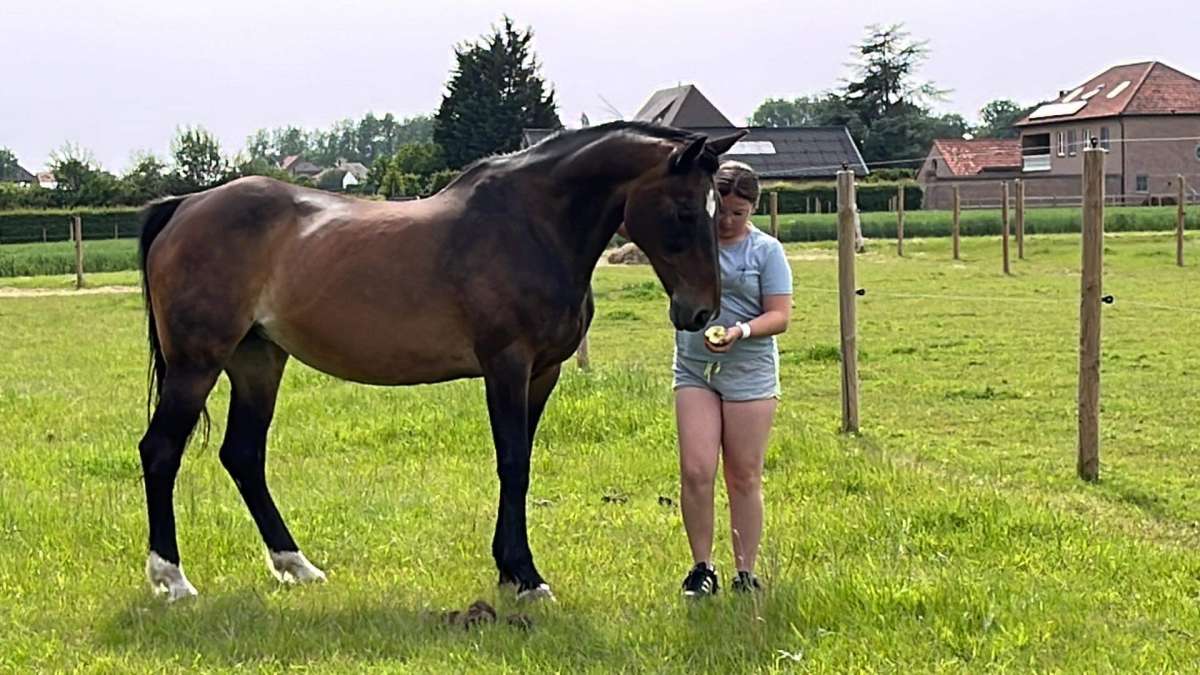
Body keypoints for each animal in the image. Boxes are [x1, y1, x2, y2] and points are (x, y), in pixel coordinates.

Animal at [136, 121, 745, 601]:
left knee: (243, 455)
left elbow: (521, 462)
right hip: (197, 364)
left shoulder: (542, 374)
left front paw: (508, 568)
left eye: (719, 210)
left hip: (258, 361)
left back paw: (296, 565)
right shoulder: (507, 366)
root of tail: (185, 206)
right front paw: (526, 576)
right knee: (160, 450)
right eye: (685, 210)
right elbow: (512, 463)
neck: (532, 225)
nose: (699, 312)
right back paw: (172, 579)